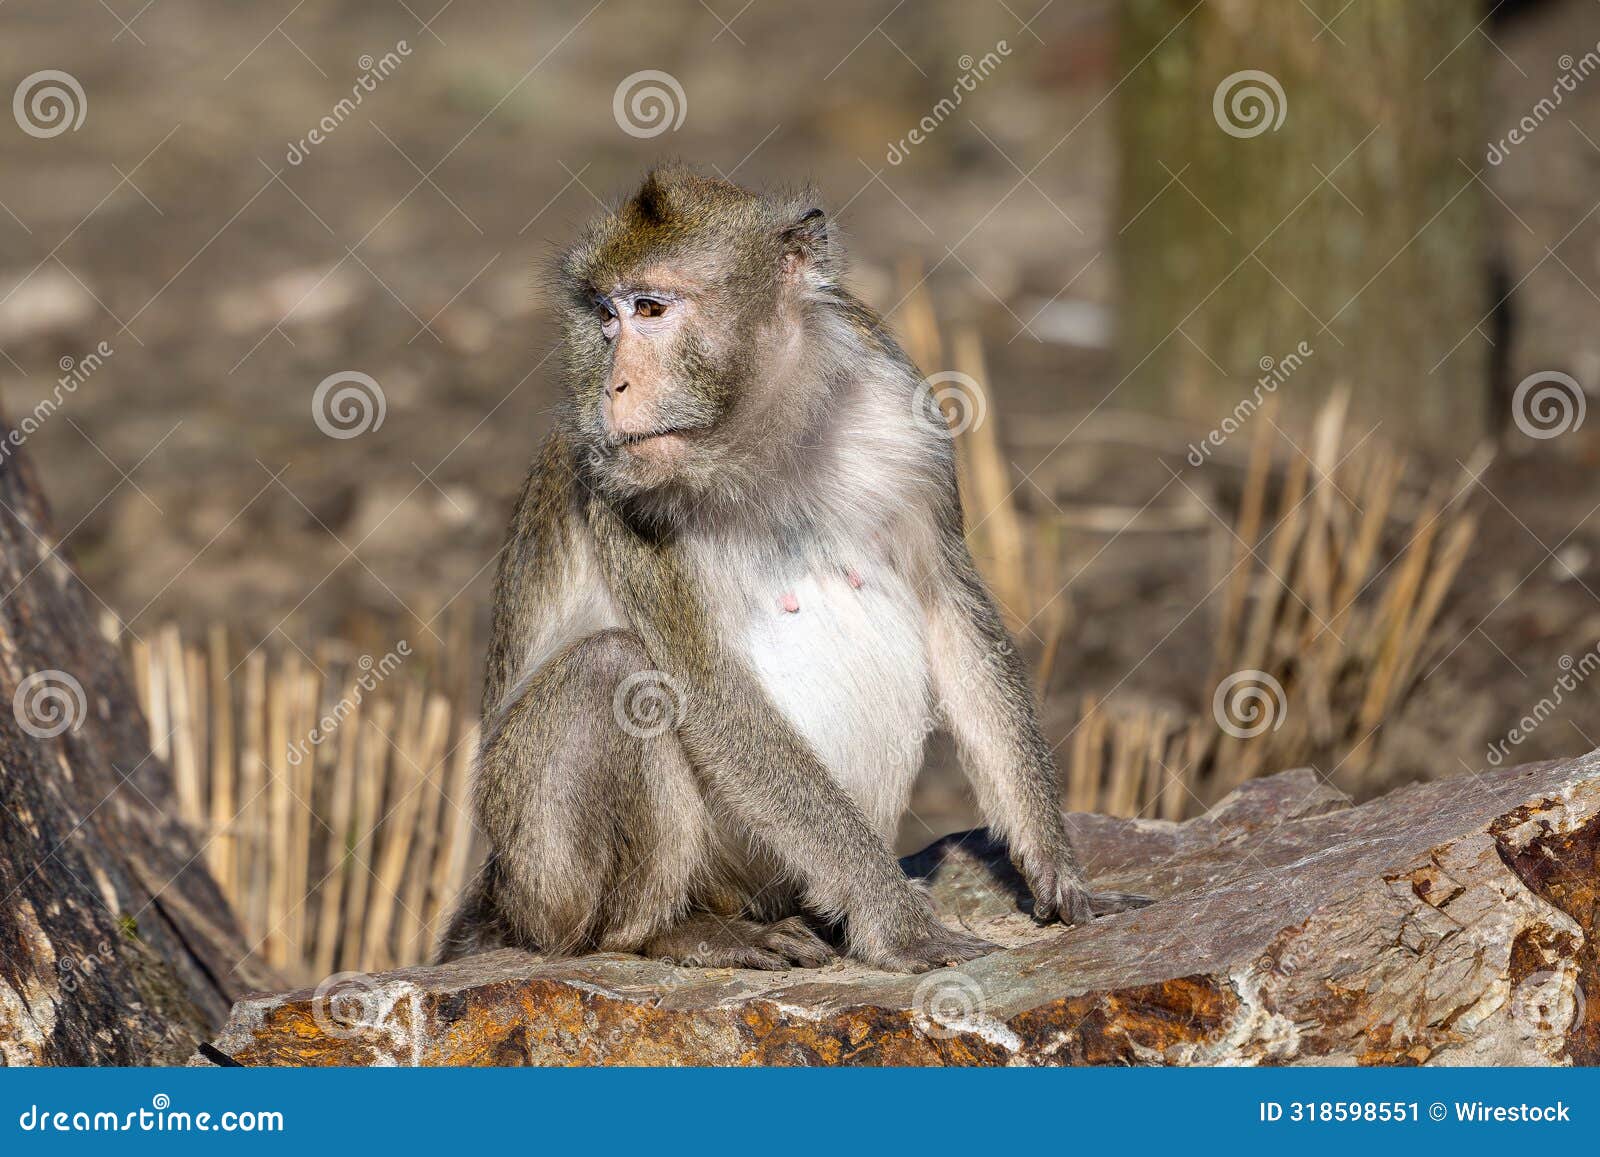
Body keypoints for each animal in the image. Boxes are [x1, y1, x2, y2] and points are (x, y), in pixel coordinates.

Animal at [436, 165, 1148, 973]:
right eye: (605, 319)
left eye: (650, 309)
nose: (613, 386)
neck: (760, 437)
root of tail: (500, 887)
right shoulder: (619, 491)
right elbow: (710, 691)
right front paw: (896, 920)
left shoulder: (901, 406)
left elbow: (951, 613)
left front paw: (1056, 868)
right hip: (541, 881)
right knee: (611, 670)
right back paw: (663, 931)